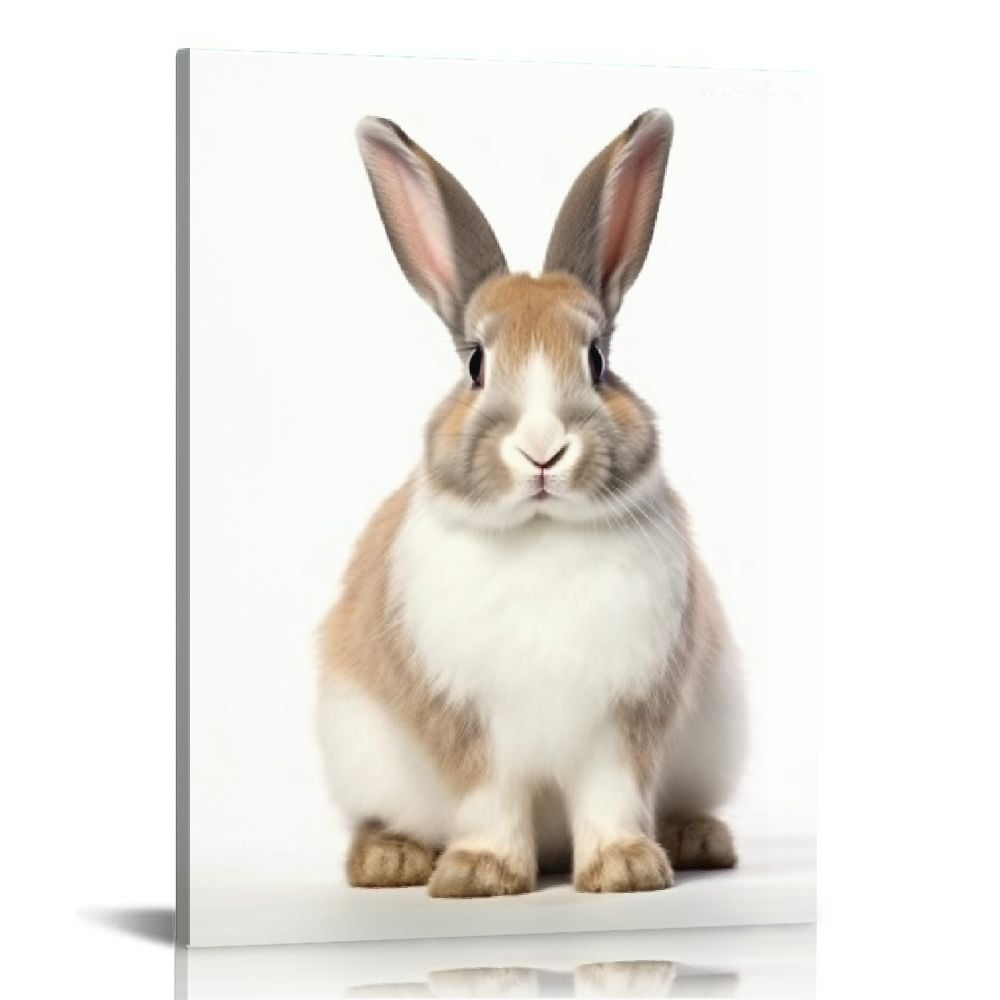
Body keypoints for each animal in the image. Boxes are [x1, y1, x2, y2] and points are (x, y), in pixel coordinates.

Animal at [317, 109, 748, 897]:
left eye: (598, 359)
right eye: (476, 365)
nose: (543, 451)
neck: (542, 530)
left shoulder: (622, 724)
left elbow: (611, 796)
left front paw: (626, 870)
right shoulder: (470, 728)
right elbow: (489, 799)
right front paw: (478, 876)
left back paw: (697, 839)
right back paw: (390, 860)